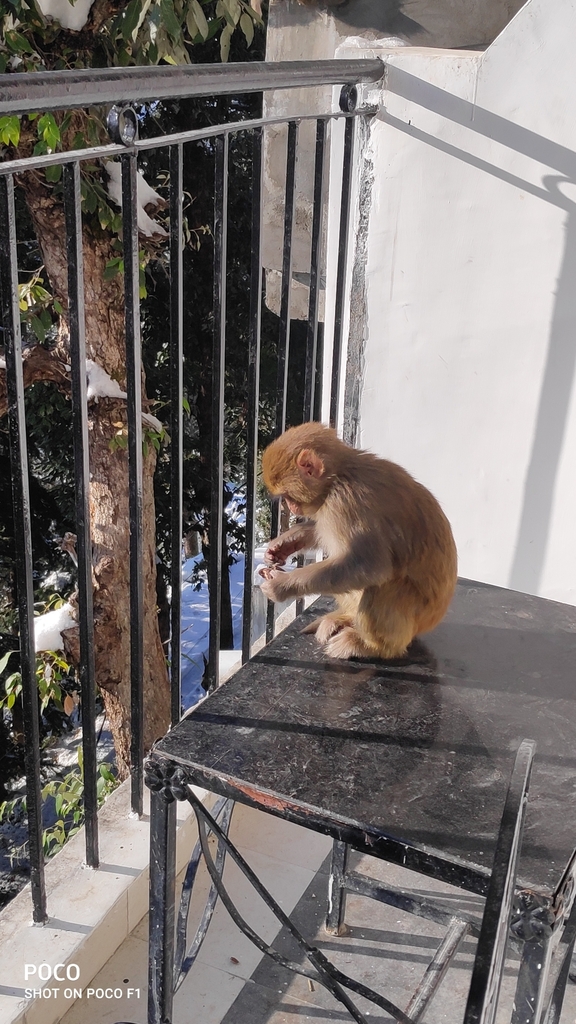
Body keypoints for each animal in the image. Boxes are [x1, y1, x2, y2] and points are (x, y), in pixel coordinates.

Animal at [259, 422, 457, 660]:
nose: (289, 506)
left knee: (383, 586)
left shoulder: (347, 503)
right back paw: (345, 619)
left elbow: (369, 565)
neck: (339, 476)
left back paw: (372, 647)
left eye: (288, 496)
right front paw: (287, 541)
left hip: (418, 616)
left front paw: (281, 585)